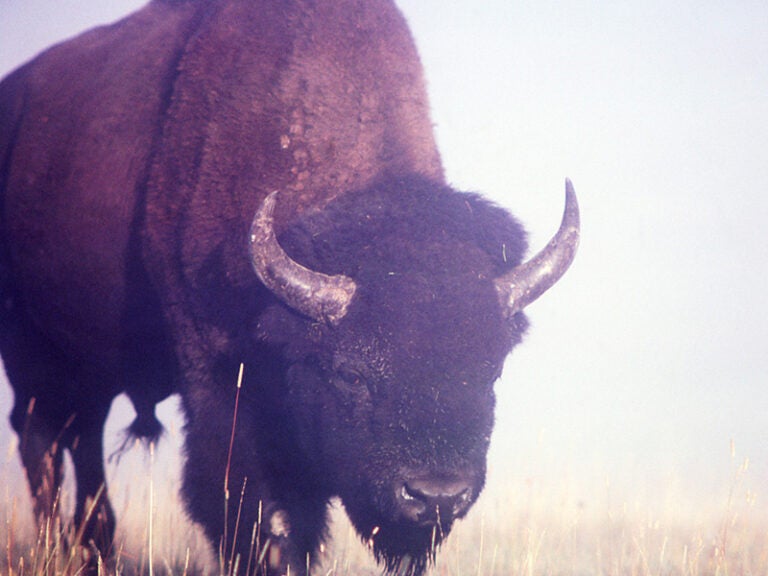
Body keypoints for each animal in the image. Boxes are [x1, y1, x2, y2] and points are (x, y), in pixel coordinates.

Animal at [0, 0, 579, 574]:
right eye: (350, 374)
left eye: (491, 370)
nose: (435, 495)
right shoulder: (219, 386)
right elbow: (253, 515)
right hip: (32, 356)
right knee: (42, 441)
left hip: (87, 368)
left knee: (82, 437)